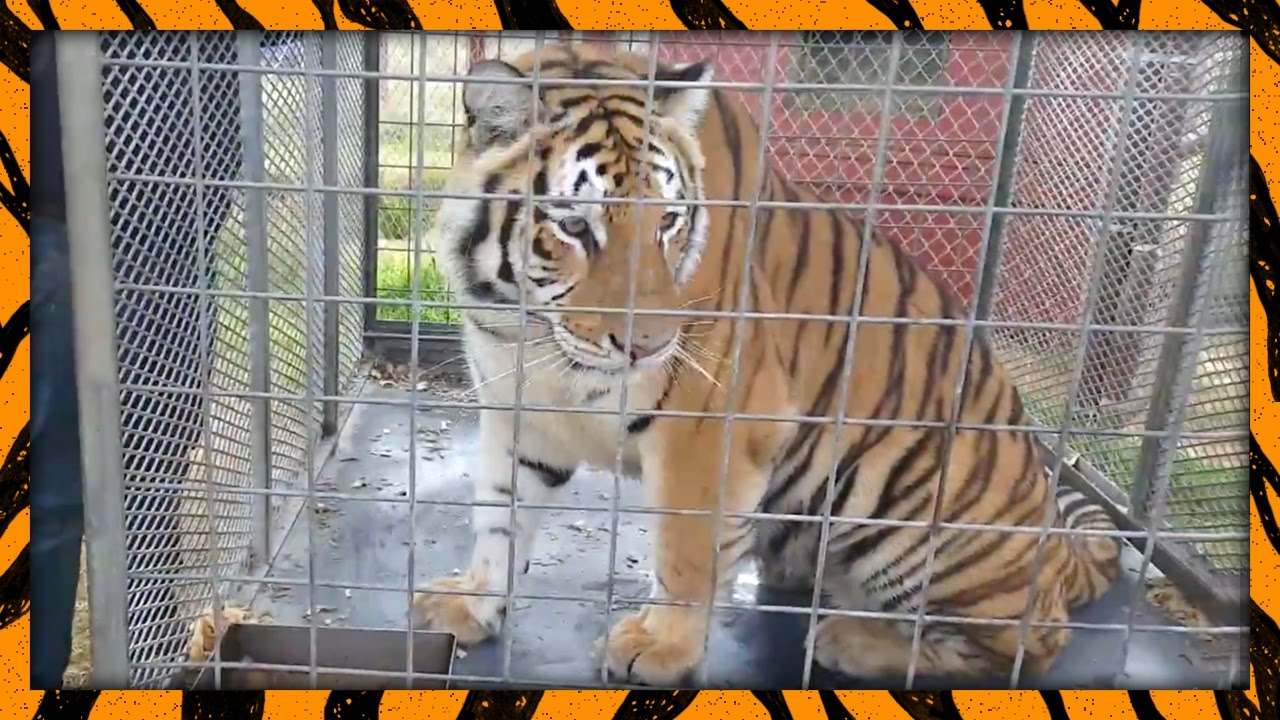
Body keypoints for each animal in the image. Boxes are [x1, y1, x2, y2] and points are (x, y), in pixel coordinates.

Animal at [411, 42, 1123, 687]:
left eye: (667, 223)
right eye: (576, 227)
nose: (648, 346)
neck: (531, 332)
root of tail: (1061, 555)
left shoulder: (708, 423)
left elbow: (687, 546)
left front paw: (661, 647)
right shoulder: (517, 410)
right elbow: (499, 515)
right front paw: (472, 603)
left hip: (906, 510)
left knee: (1033, 642)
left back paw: (851, 641)